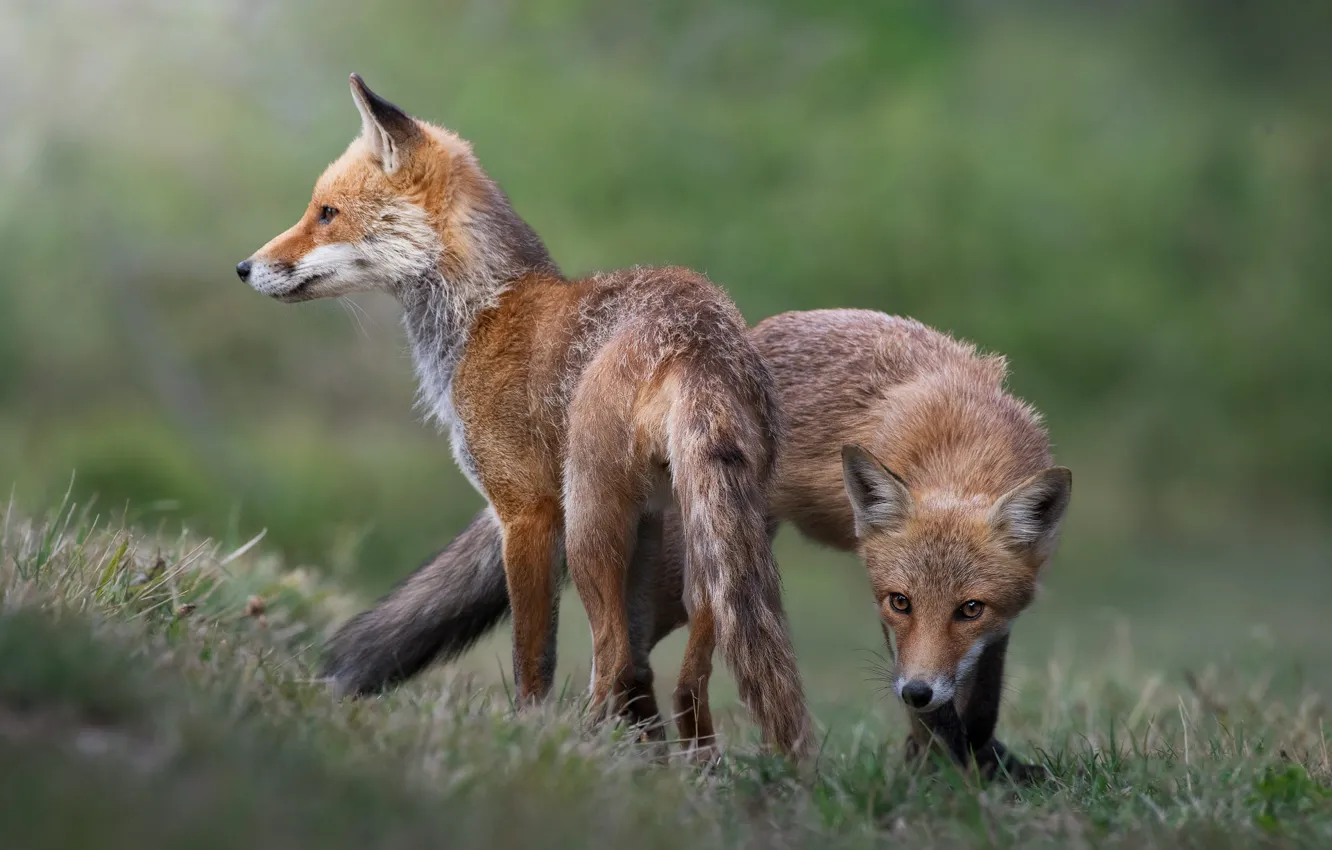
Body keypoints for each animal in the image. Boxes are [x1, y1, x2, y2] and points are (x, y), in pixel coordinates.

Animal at [236, 74, 812, 757]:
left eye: (325, 212)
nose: (244, 268)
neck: (482, 313)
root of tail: (701, 334)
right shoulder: (631, 524)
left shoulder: (525, 511)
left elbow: (531, 657)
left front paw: (527, 734)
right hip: (691, 537)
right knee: (686, 665)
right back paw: (685, 766)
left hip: (589, 528)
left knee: (615, 654)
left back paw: (582, 744)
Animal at [324, 308, 1072, 779]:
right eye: (901, 601)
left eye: (970, 608)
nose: (915, 692)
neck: (958, 441)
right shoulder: (895, 625)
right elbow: (947, 715)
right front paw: (957, 774)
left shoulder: (990, 629)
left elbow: (978, 701)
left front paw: (961, 764)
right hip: (691, 580)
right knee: (623, 659)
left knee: (629, 664)